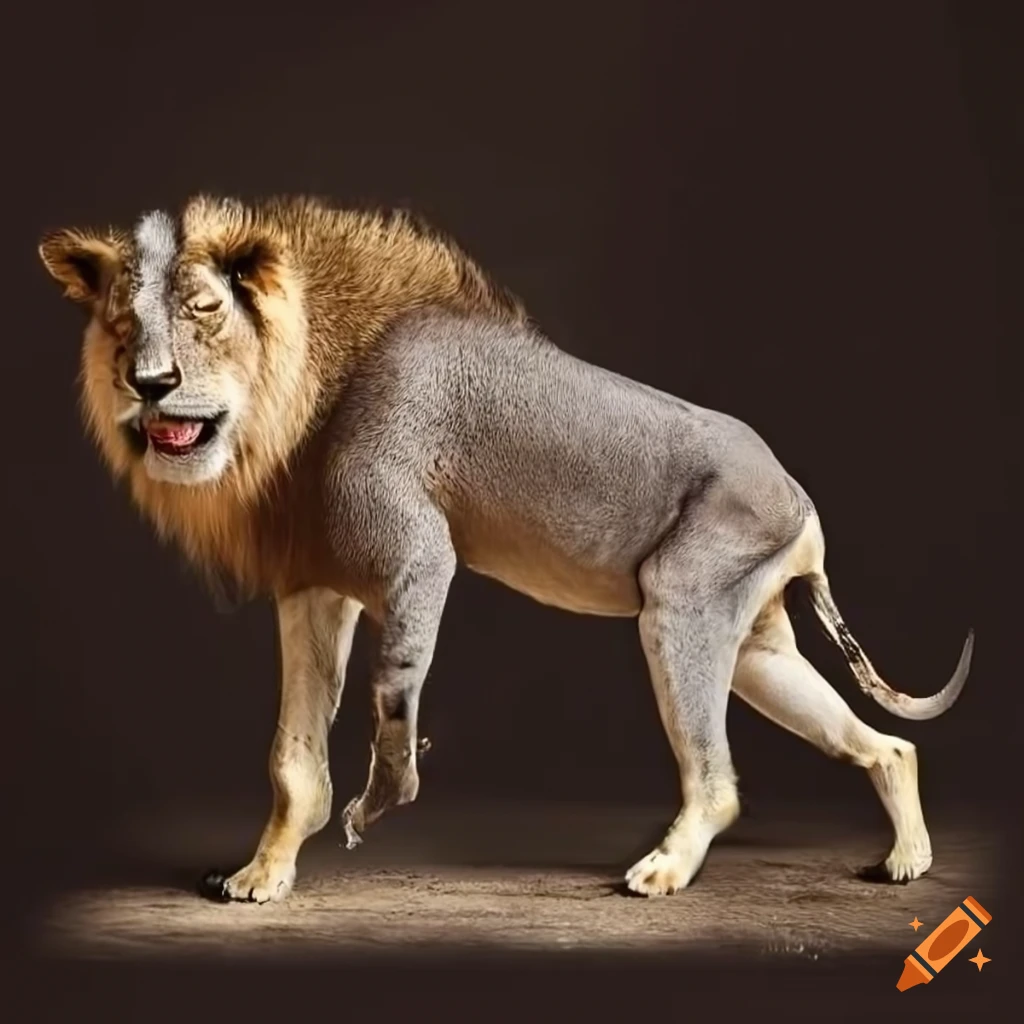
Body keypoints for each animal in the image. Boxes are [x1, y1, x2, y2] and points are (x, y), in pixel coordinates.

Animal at [38, 194, 974, 904]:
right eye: (121, 323)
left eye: (204, 311)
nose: (149, 384)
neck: (292, 403)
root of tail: (801, 498)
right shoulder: (310, 584)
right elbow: (292, 756)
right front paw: (262, 874)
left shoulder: (417, 553)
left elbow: (392, 687)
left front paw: (382, 802)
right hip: (754, 643)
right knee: (885, 744)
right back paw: (907, 860)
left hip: (682, 603)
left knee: (715, 779)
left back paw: (663, 870)